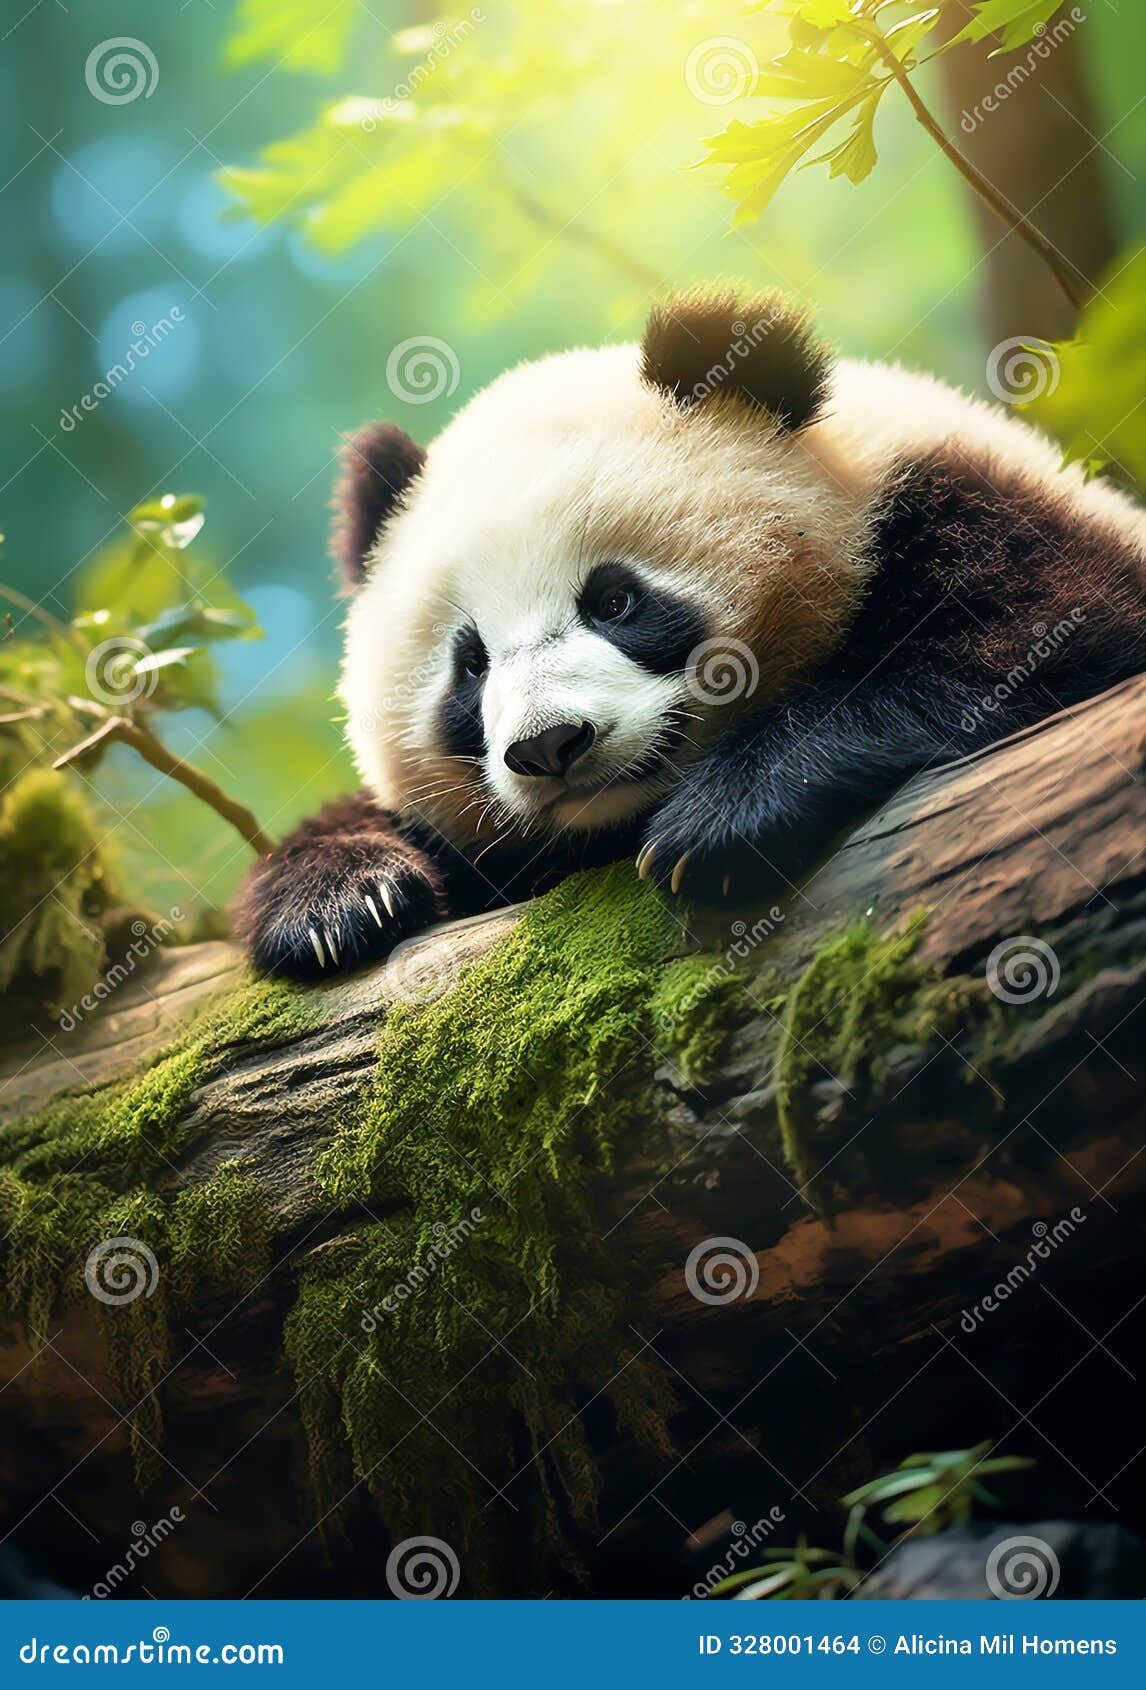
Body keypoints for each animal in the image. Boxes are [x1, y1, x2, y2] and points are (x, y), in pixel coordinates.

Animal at [234, 287, 1146, 979]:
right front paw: (337, 901)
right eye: (471, 664)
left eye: (615, 602)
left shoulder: (969, 505)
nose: (548, 746)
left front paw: (722, 818)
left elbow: (1036, 639)